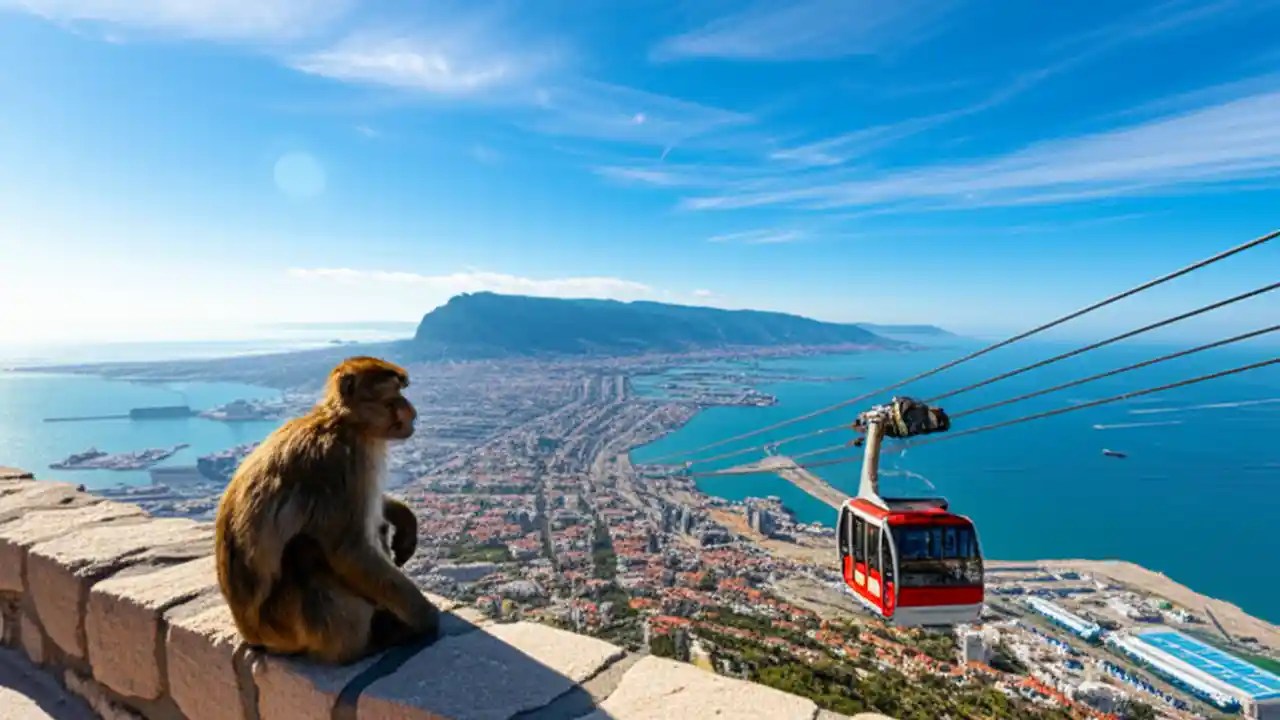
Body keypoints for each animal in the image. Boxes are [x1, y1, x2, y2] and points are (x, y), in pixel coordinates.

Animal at [214, 356, 438, 664]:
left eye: (401, 394)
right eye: (394, 397)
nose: (412, 412)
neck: (345, 425)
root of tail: (252, 635)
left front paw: (402, 516)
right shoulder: (339, 462)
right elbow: (350, 551)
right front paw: (424, 616)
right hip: (283, 625)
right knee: (306, 550)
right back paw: (362, 645)